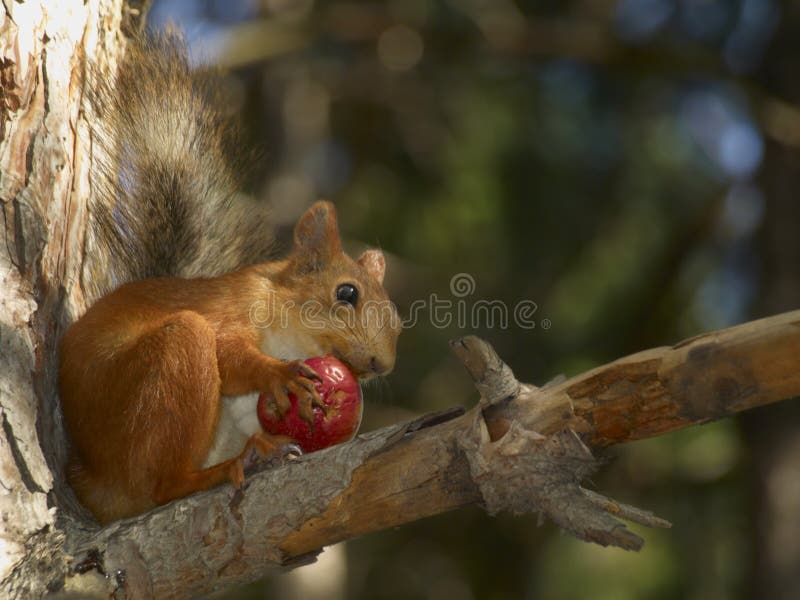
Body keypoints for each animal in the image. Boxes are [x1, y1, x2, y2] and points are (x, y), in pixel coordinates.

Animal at [59, 34, 401, 524]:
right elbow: (230, 352)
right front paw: (277, 373)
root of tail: (98, 484)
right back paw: (231, 466)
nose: (380, 365)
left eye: (399, 322)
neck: (289, 323)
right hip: (159, 372)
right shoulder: (230, 306)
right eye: (347, 293)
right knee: (162, 485)